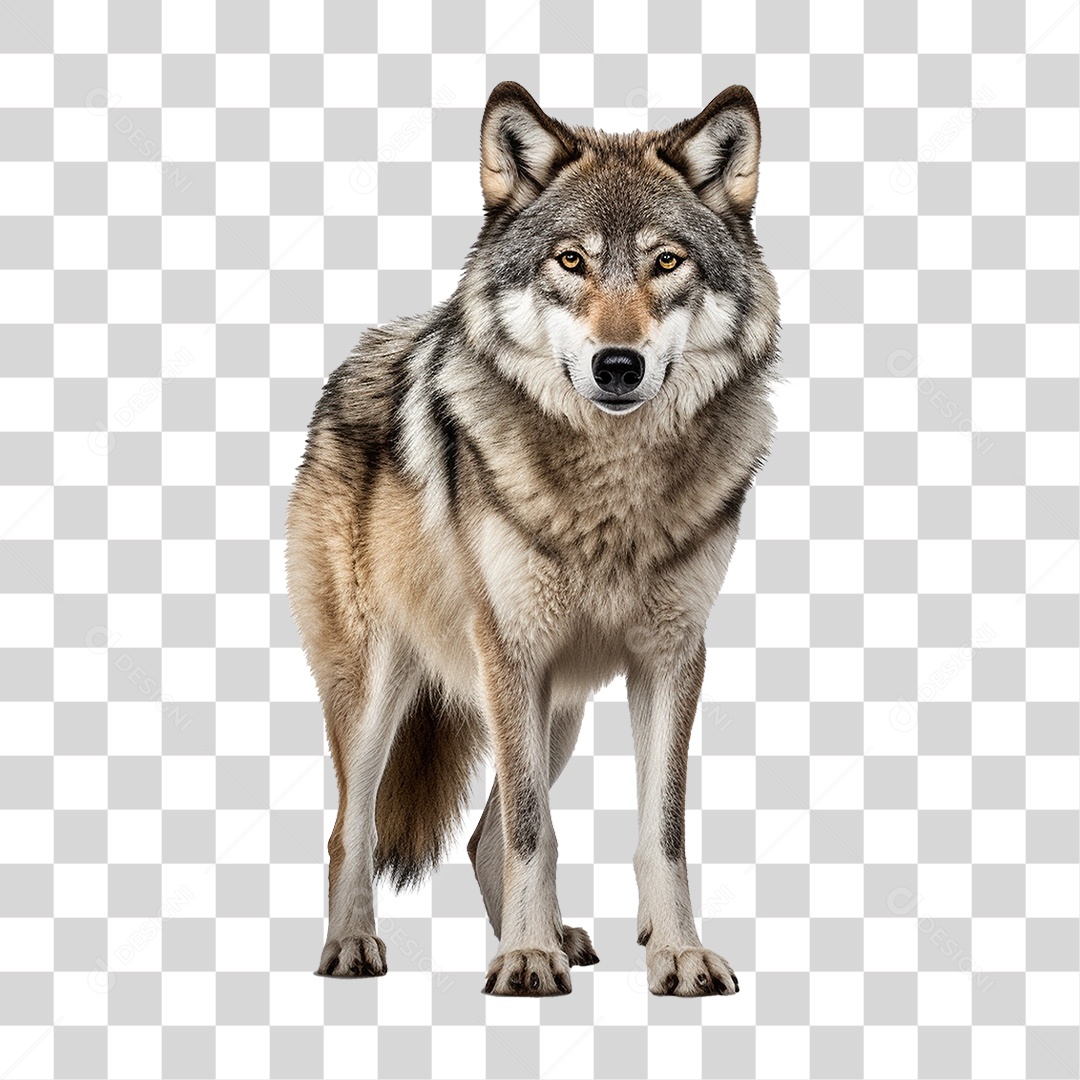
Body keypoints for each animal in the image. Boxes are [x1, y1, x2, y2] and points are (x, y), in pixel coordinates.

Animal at [285, 81, 779, 996]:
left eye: (666, 263)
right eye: (571, 261)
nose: (618, 365)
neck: (612, 489)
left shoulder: (672, 655)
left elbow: (659, 833)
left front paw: (677, 953)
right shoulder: (510, 647)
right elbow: (528, 827)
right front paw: (522, 960)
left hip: (562, 710)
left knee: (479, 836)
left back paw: (561, 936)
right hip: (381, 690)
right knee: (351, 829)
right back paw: (356, 947)